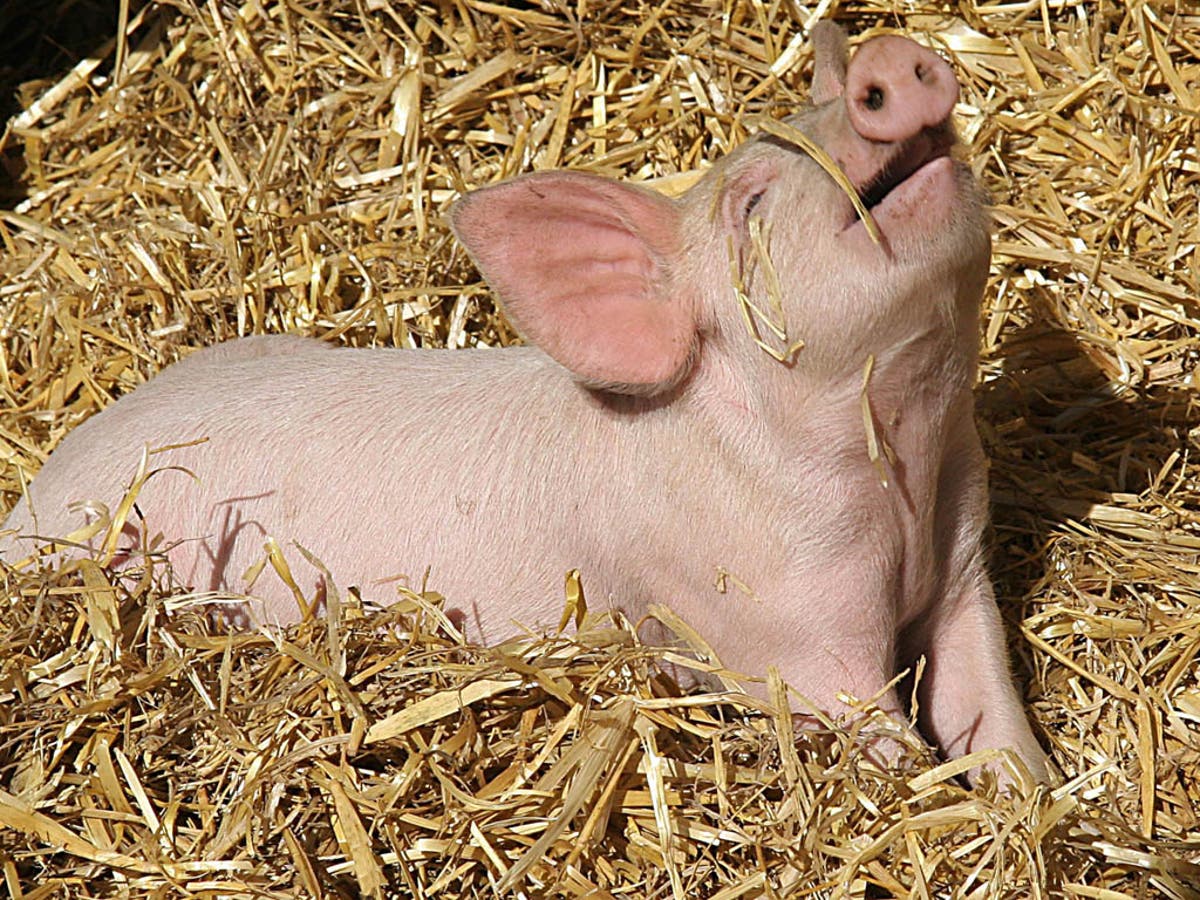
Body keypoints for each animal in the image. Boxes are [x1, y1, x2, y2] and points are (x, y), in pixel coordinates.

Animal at [1, 23, 1049, 783]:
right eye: (751, 204)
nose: (887, 59)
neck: (901, 466)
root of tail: (37, 488)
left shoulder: (960, 568)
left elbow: (988, 701)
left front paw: (1032, 799)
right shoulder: (778, 625)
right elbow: (877, 734)